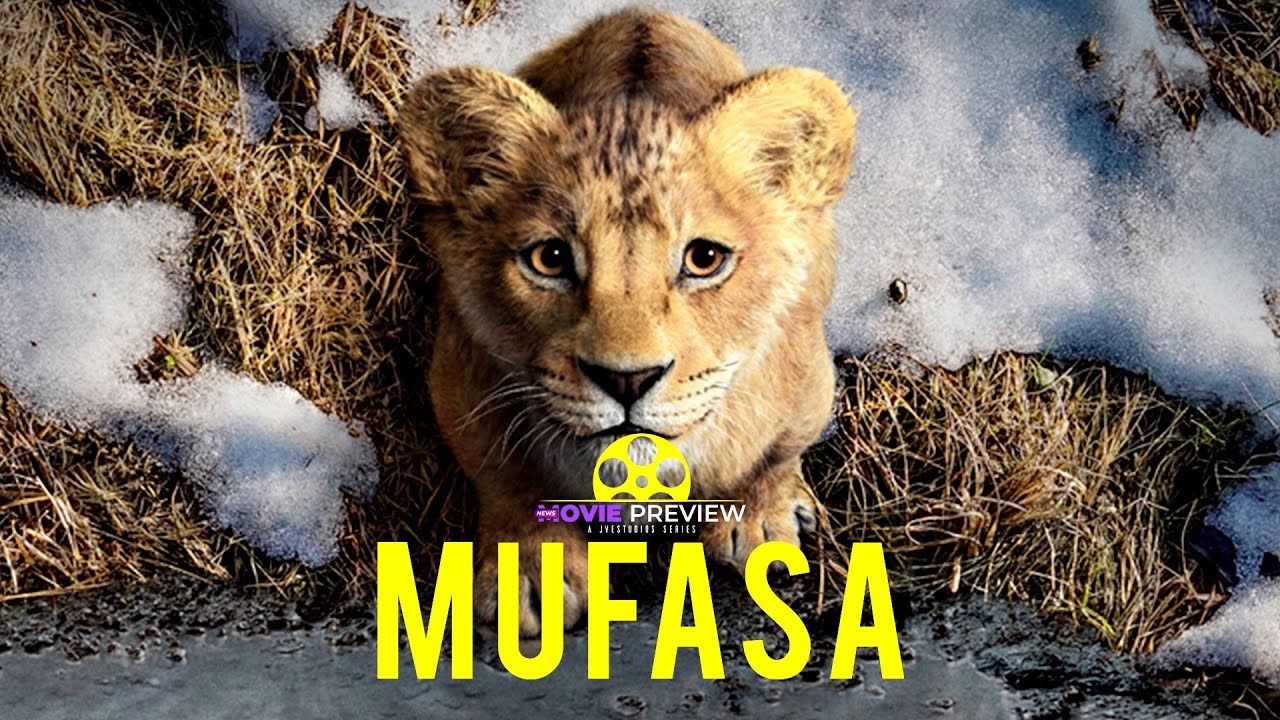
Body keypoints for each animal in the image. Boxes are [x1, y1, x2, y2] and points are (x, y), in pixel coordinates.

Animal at [400, 8, 857, 634]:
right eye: (550, 258)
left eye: (704, 258)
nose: (627, 379)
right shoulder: (461, 382)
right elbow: (510, 481)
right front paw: (531, 573)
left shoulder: (806, 383)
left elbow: (771, 457)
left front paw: (759, 523)